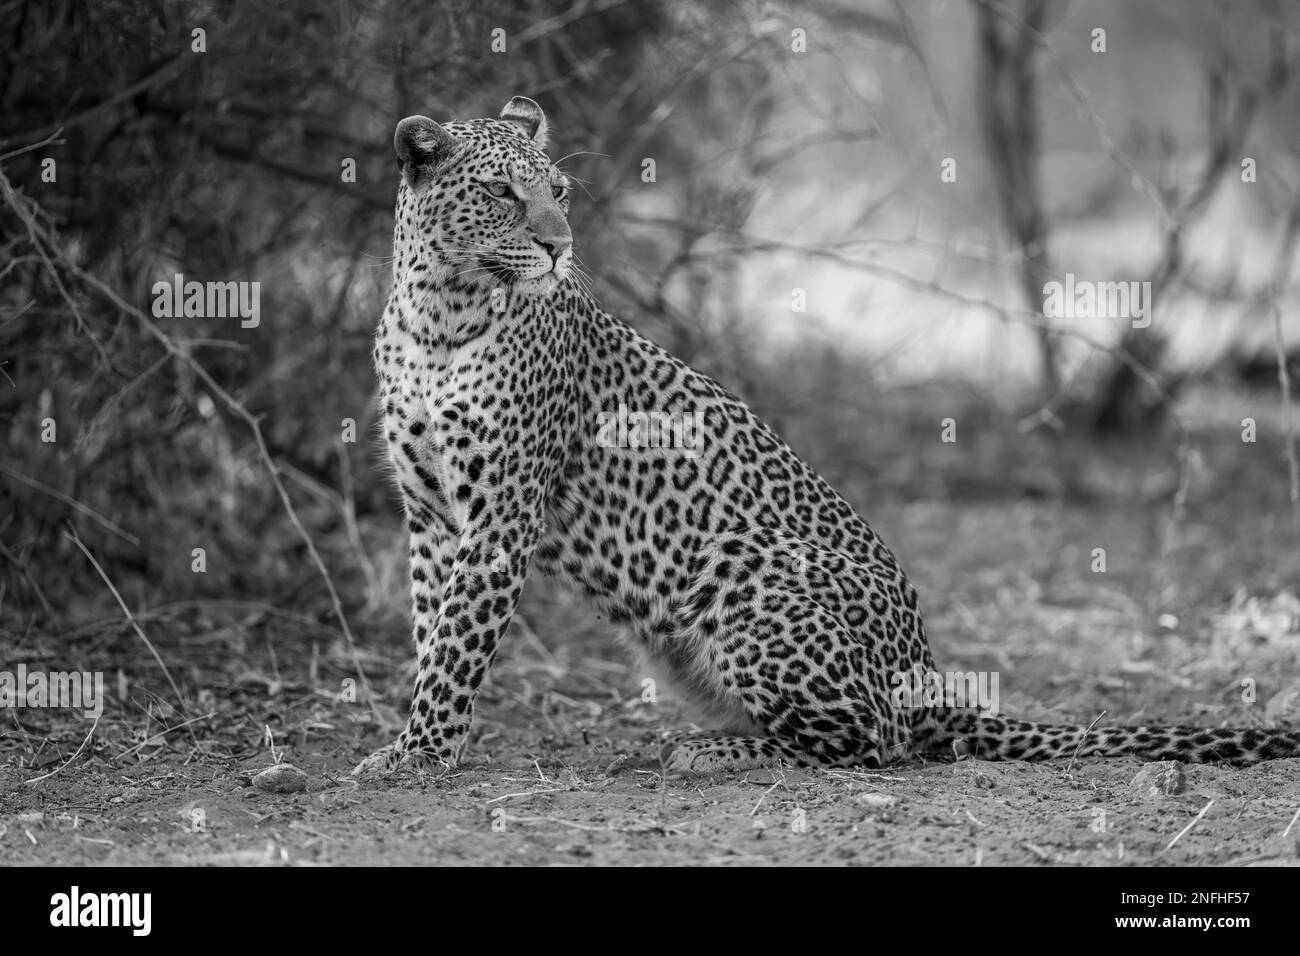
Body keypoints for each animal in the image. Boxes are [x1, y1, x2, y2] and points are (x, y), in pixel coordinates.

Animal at [354, 95, 1300, 776]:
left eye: (557, 191)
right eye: (501, 193)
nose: (559, 246)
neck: (439, 317)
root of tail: (924, 678)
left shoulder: (500, 516)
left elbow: (458, 641)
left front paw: (418, 753)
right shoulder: (432, 516)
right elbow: (434, 630)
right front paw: (428, 742)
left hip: (752, 583)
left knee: (872, 745)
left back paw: (704, 752)